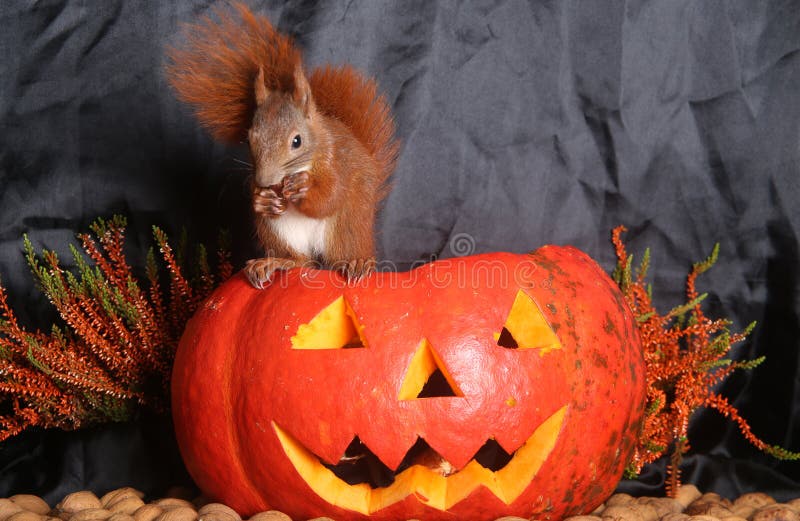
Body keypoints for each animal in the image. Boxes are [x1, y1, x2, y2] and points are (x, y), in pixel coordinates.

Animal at [166, 3, 399, 288]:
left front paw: (304, 188)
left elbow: (330, 196)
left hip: (347, 226)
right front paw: (262, 199)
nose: (265, 181)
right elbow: (258, 199)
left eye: (297, 141)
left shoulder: (336, 163)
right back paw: (275, 262)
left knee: (340, 252)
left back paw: (356, 263)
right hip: (278, 233)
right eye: (250, 139)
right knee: (301, 262)